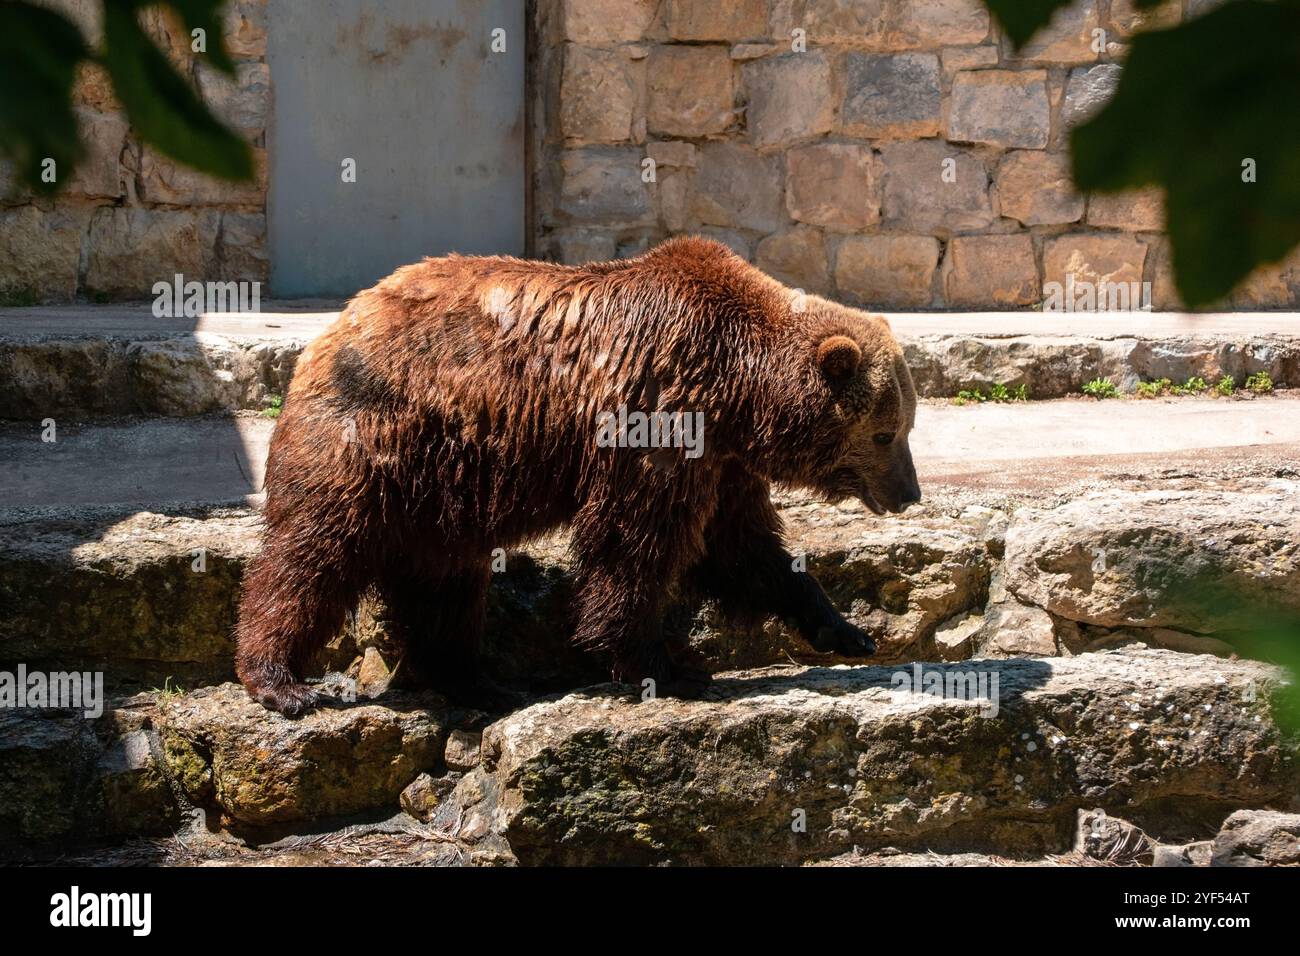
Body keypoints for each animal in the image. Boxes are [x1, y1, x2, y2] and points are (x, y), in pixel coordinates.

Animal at [235, 236, 921, 715]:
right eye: (886, 434)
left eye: (903, 425)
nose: (909, 493)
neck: (738, 389)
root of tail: (335, 326)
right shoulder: (658, 414)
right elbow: (633, 544)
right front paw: (665, 663)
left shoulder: (721, 462)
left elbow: (744, 549)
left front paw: (845, 630)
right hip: (373, 435)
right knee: (314, 552)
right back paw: (280, 680)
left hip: (439, 484)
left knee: (444, 578)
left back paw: (475, 681)